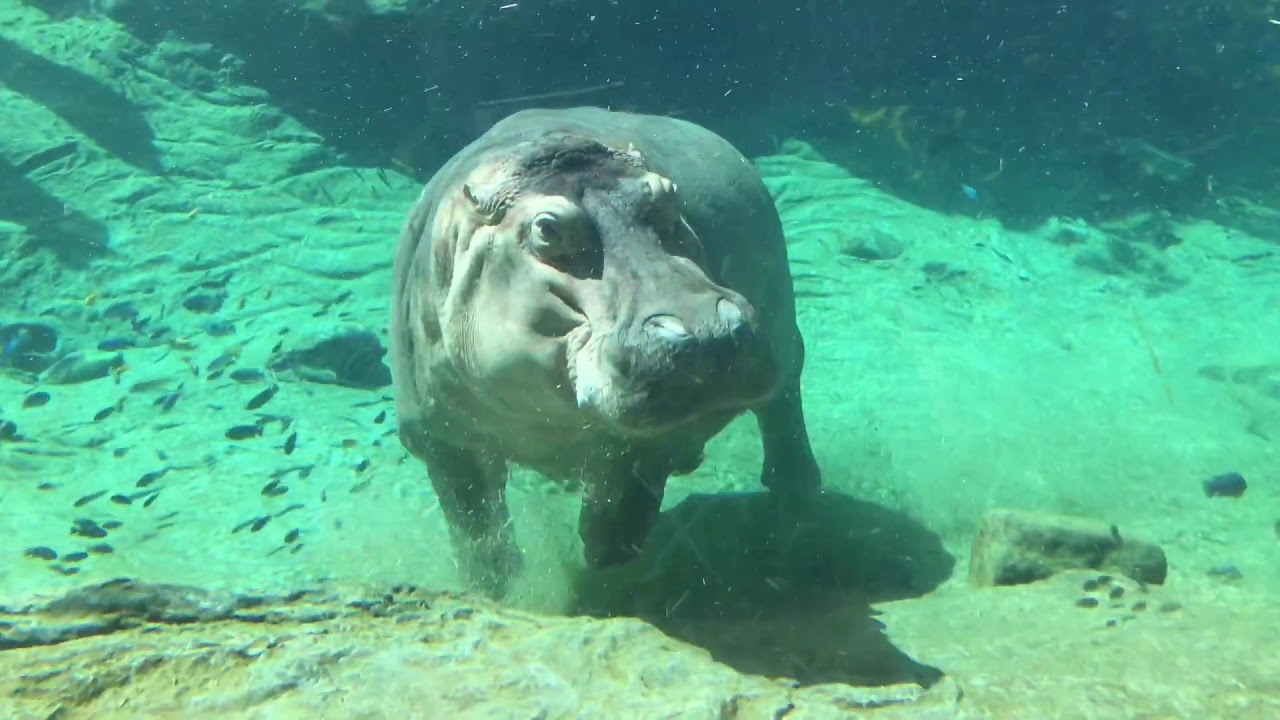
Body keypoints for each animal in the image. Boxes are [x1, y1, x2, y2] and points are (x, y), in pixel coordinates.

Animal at [391, 107, 821, 596]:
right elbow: (477, 532)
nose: (709, 332)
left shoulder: (646, 438)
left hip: (784, 337)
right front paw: (498, 590)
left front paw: (605, 564)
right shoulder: (437, 437)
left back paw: (797, 502)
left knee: (784, 414)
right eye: (546, 228)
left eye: (668, 195)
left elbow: (620, 504)